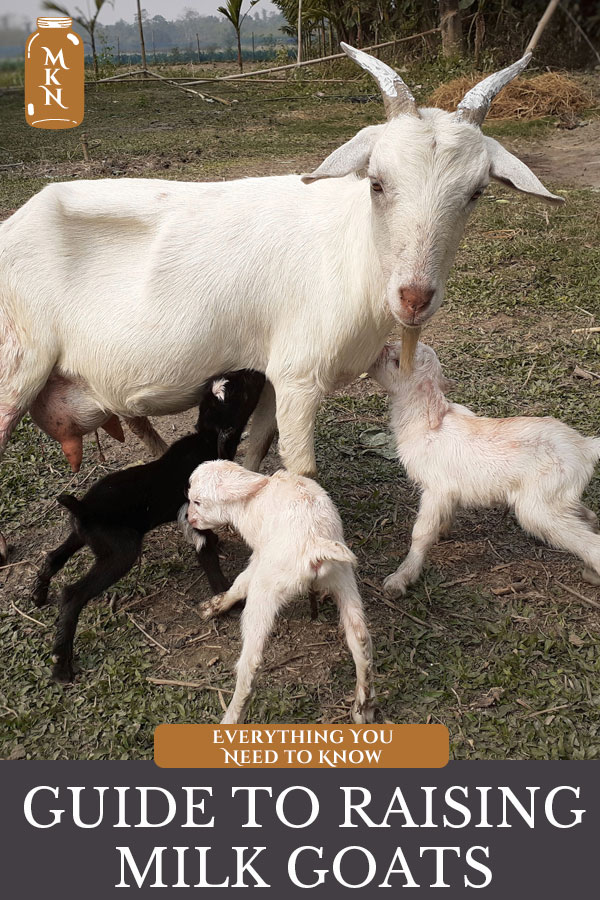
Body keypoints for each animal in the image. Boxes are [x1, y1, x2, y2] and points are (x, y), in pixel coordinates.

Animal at [0, 45, 562, 491]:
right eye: (376, 182)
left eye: (477, 192)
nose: (414, 297)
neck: (351, 253)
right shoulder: (298, 373)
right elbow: (302, 469)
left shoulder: (271, 371)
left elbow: (257, 448)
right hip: (17, 362)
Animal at [31, 370, 265, 684]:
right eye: (243, 391)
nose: (259, 374)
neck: (205, 439)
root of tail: (82, 507)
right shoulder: (190, 510)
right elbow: (205, 550)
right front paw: (225, 596)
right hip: (120, 551)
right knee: (72, 594)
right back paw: (61, 666)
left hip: (82, 534)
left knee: (54, 556)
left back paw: (38, 595)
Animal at [187, 460, 375, 724]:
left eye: (197, 501)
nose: (189, 518)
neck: (252, 498)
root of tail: (315, 546)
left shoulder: (260, 554)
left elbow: (241, 582)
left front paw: (215, 606)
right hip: (343, 577)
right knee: (360, 637)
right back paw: (363, 706)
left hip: (268, 586)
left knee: (252, 660)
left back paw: (232, 716)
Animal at [369, 341, 600, 596]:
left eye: (397, 361)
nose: (379, 350)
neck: (422, 421)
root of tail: (585, 447)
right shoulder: (449, 492)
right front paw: (443, 530)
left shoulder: (436, 488)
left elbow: (421, 532)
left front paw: (401, 578)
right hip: (558, 497)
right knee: (589, 517)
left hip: (538, 508)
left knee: (590, 543)